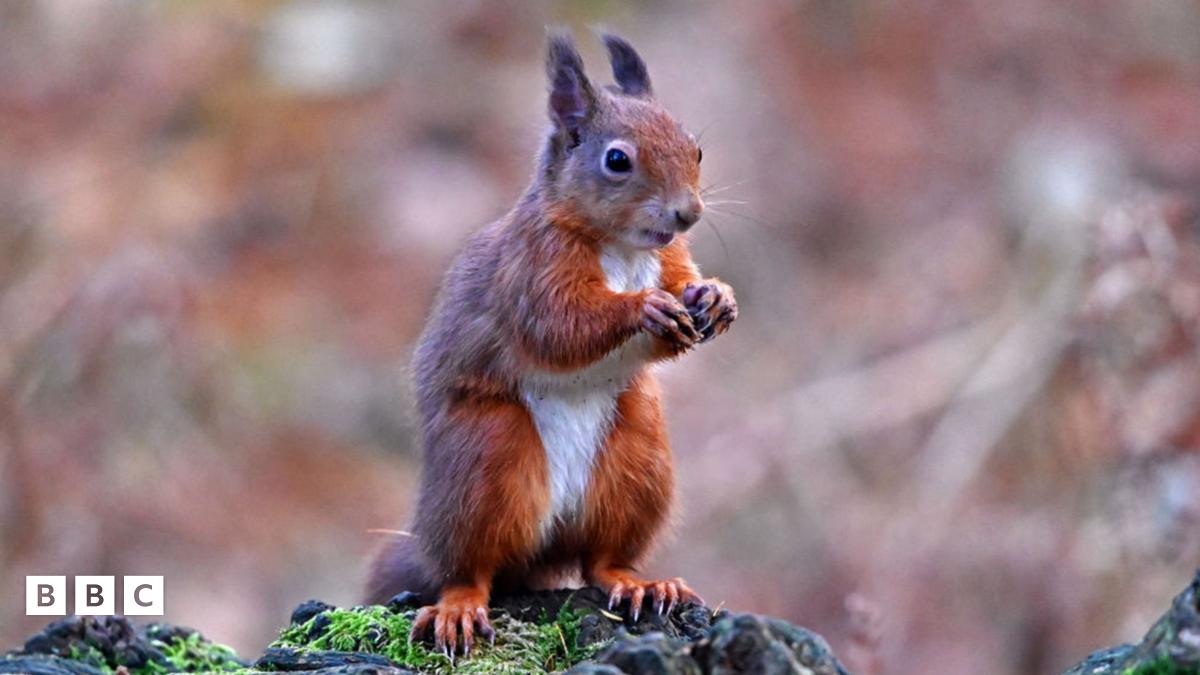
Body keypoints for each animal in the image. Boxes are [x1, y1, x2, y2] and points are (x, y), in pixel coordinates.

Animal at [365, 30, 738, 658]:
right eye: (617, 160)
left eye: (698, 150)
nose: (688, 213)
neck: (623, 247)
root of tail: (547, 544)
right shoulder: (533, 270)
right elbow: (560, 327)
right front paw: (643, 308)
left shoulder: (670, 259)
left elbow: (683, 284)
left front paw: (715, 296)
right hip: (486, 459)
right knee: (470, 566)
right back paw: (458, 607)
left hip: (637, 463)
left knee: (600, 561)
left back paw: (641, 584)